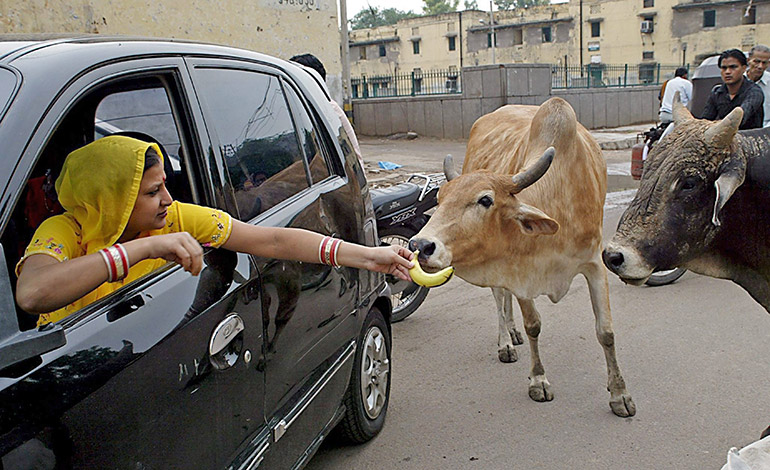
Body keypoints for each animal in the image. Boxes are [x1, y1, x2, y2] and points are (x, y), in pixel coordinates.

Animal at [409, 97, 636, 417]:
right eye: (439, 199)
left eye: (485, 199)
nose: (420, 244)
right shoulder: (519, 272)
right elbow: (534, 326)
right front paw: (538, 380)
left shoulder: (594, 263)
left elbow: (606, 331)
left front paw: (620, 394)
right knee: (498, 297)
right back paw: (506, 340)